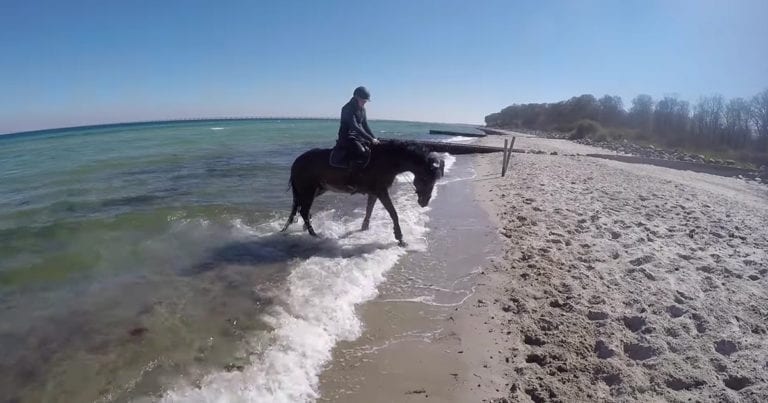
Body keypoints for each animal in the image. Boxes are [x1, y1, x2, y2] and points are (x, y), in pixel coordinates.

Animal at [281, 139, 445, 246]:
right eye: (425, 178)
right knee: (303, 210)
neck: (387, 160)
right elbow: (393, 213)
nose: (424, 202)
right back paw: (314, 235)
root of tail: (296, 162)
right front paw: (400, 238)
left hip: (316, 190)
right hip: (308, 190)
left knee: (302, 208)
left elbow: (369, 209)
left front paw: (364, 228)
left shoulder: (375, 192)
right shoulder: (381, 191)